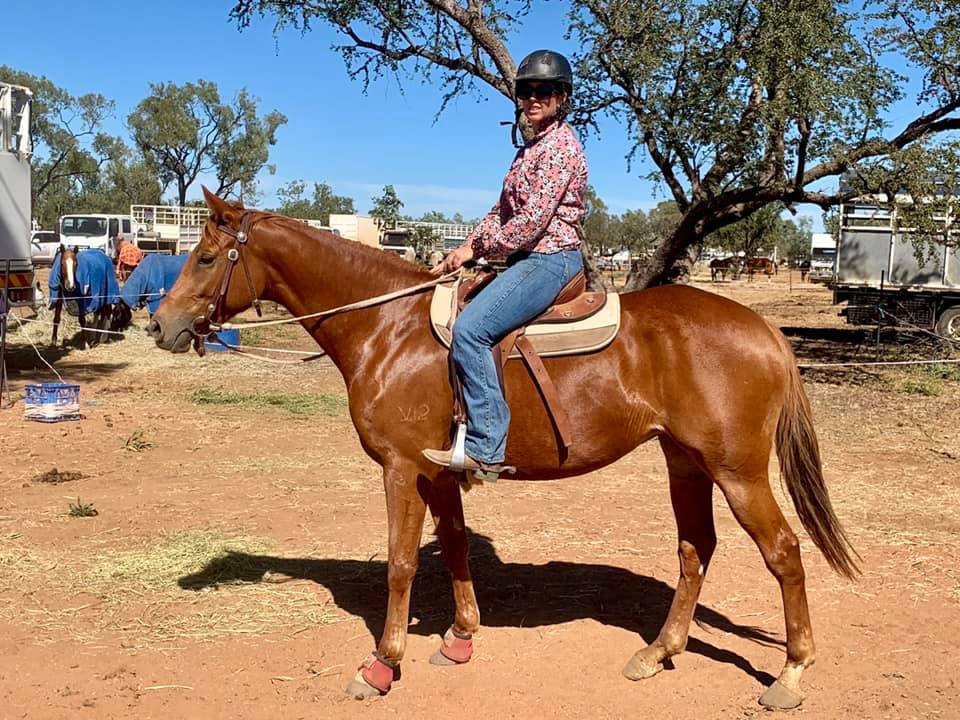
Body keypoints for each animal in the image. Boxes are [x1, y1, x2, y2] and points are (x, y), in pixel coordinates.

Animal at [148, 190, 859, 710]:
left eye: (206, 257)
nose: (159, 324)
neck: (388, 328)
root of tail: (764, 328)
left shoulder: (401, 470)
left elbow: (400, 565)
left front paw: (382, 665)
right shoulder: (438, 475)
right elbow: (457, 547)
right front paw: (461, 638)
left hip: (738, 472)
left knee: (784, 552)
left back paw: (790, 675)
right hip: (685, 463)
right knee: (695, 550)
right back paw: (657, 653)